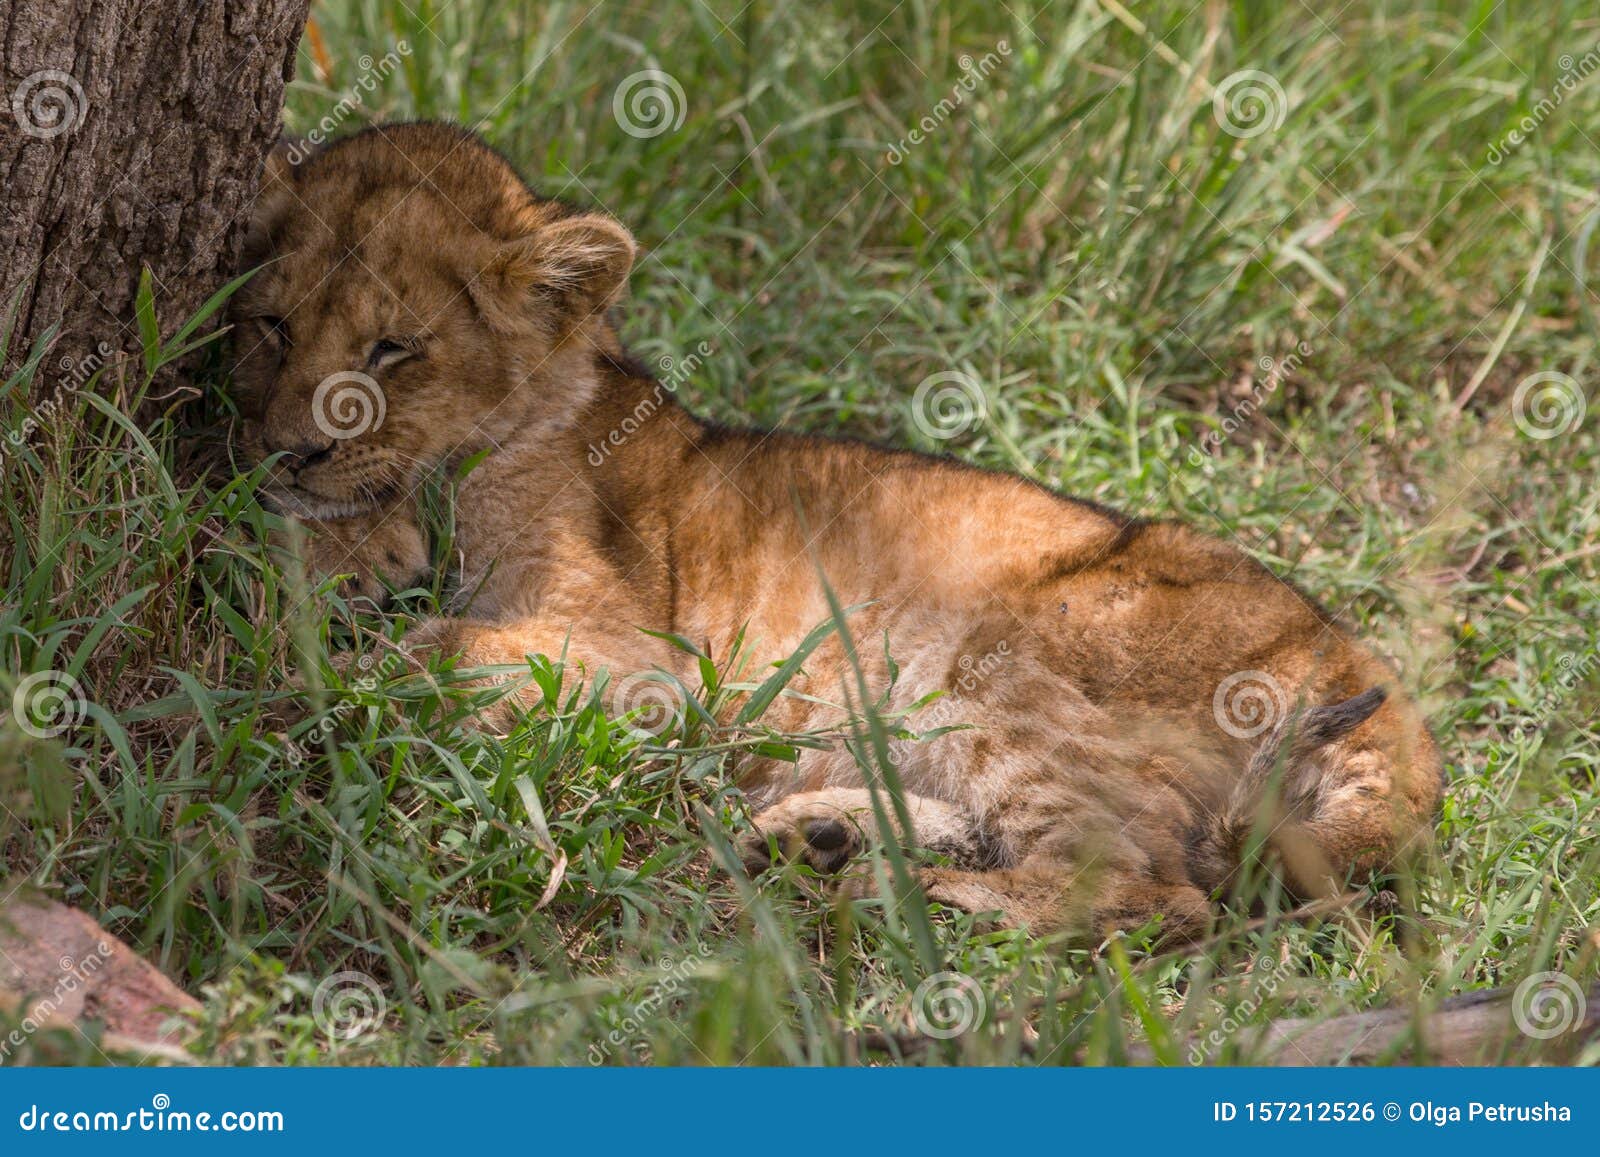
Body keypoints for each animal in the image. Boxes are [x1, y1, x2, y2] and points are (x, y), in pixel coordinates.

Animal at [229, 122, 1444, 942]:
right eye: (270, 323)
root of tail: (1358, 658)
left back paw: (915, 895)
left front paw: (321, 659)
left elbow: (430, 652)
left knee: (1159, 892)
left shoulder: (650, 660)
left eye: (394, 350)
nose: (287, 450)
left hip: (1008, 657)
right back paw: (818, 837)